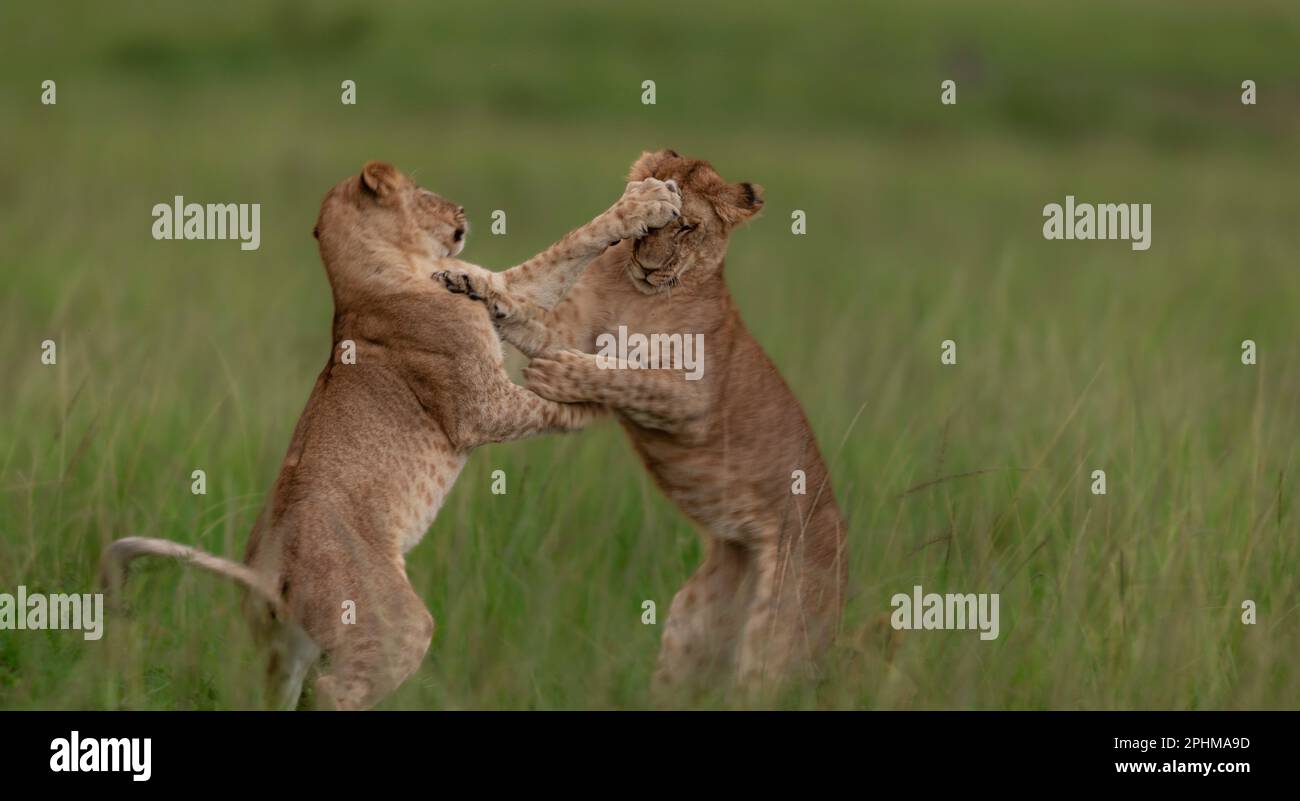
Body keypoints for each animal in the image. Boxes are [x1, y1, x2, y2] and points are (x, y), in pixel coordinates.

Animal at [101, 161, 681, 710]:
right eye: (422, 191)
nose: (462, 209)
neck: (383, 273)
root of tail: (265, 568)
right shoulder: (479, 407)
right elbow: (550, 405)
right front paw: (621, 390)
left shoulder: (494, 287)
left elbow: (564, 249)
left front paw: (643, 204)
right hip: (394, 623)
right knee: (336, 690)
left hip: (283, 654)